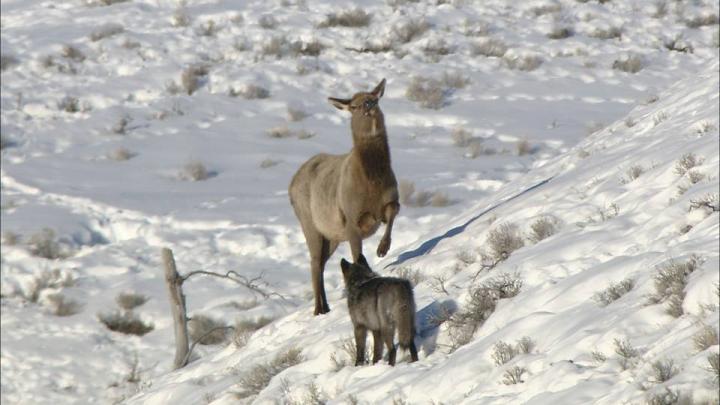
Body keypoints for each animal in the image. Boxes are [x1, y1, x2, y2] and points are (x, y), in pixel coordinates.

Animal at [289, 78, 399, 315]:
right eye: (354, 106)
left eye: (375, 99)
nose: (368, 106)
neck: (372, 183)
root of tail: (290, 184)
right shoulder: (350, 218)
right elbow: (357, 256)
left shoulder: (390, 199)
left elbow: (392, 212)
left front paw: (383, 248)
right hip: (309, 223)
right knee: (314, 262)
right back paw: (318, 309)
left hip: (332, 236)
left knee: (321, 262)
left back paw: (326, 306)